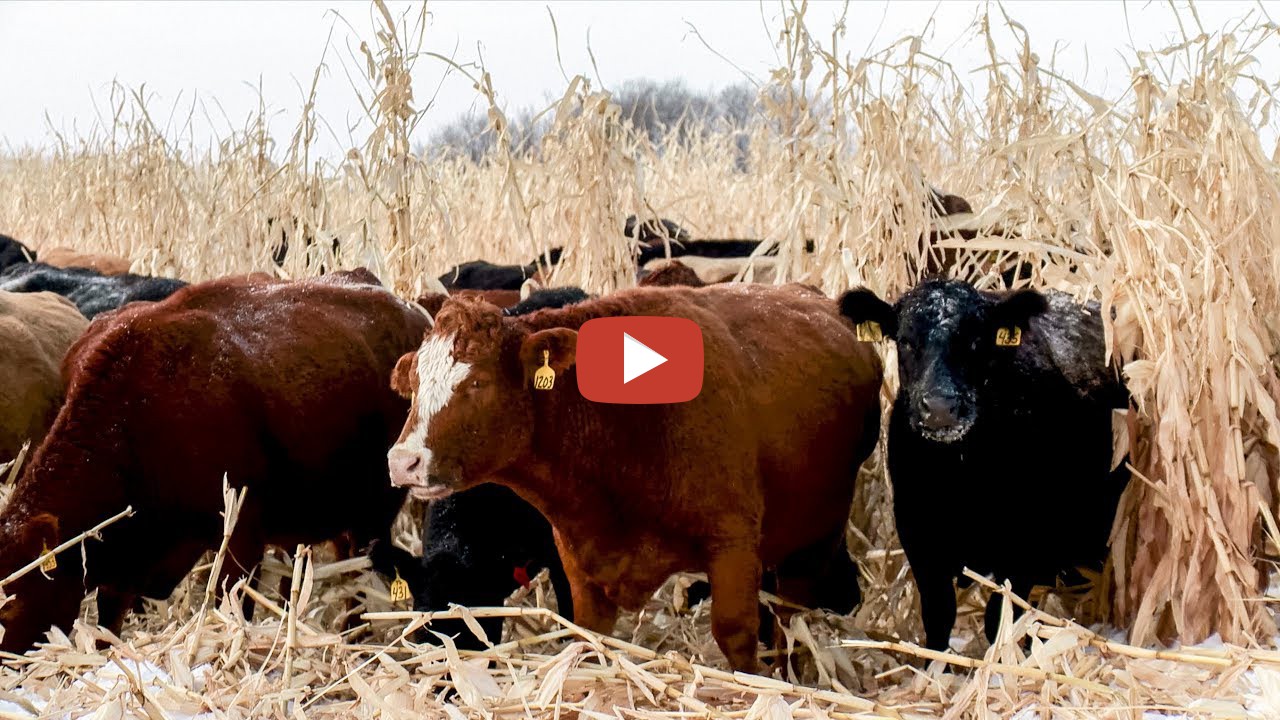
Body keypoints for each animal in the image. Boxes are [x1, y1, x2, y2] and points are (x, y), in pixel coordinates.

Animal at [385, 284, 883, 671]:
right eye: (414, 386)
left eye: (477, 383)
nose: (402, 461)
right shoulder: (578, 562)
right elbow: (588, 638)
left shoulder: (733, 546)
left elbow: (738, 636)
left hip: (814, 544)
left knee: (788, 621)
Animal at [838, 278, 1130, 651]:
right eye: (904, 340)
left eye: (977, 341)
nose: (941, 407)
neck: (964, 474)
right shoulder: (920, 535)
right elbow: (938, 616)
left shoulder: (1025, 544)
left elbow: (1000, 620)